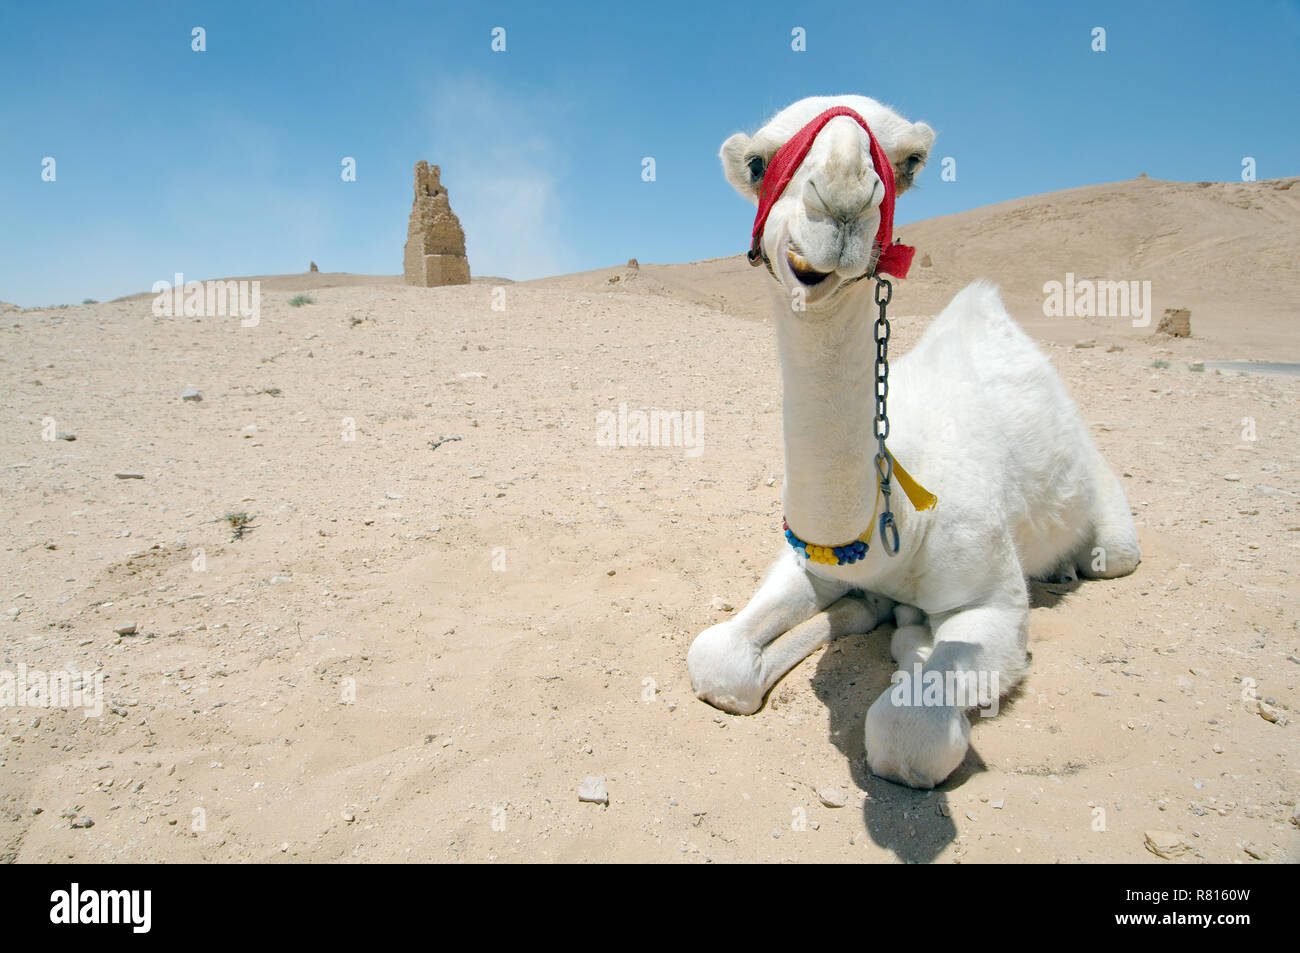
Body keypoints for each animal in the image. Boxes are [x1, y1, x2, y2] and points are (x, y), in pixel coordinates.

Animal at [686, 95, 1140, 789]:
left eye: (910, 161)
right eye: (759, 162)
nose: (843, 195)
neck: (897, 521)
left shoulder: (994, 601)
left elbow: (908, 736)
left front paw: (909, 640)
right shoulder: (808, 560)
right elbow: (716, 658)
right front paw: (866, 612)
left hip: (1111, 520)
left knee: (1109, 553)